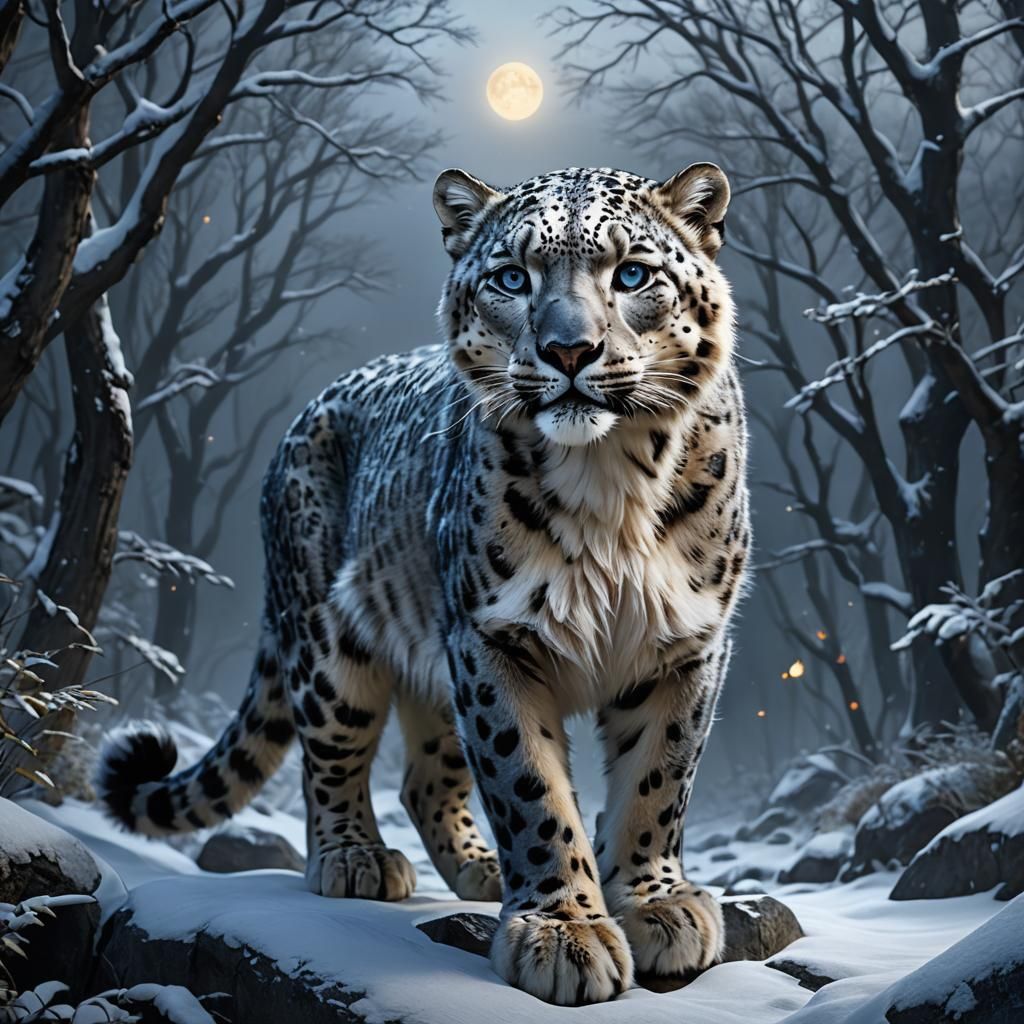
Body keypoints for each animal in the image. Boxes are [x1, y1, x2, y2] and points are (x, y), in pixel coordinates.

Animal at [97, 162, 750, 1006]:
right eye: (512, 277)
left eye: (632, 274)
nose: (569, 349)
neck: (610, 487)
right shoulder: (493, 636)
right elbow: (530, 786)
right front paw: (564, 931)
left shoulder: (686, 644)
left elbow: (658, 780)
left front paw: (656, 904)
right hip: (330, 641)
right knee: (331, 757)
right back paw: (355, 859)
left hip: (434, 669)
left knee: (425, 778)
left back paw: (477, 868)